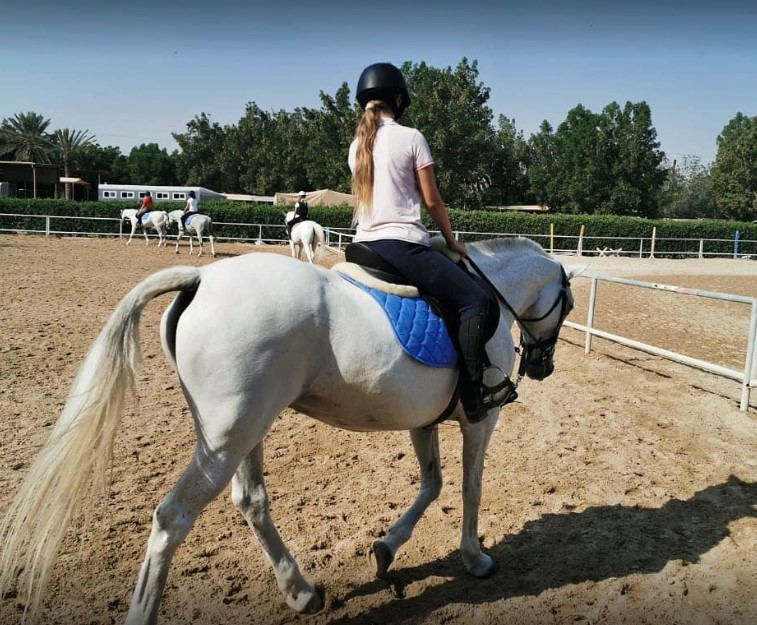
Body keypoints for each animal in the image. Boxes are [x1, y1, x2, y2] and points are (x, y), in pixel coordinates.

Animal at [0, 237, 585, 624]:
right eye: (569, 304)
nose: (542, 367)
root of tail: (202, 278)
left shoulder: (424, 420)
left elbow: (432, 483)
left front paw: (387, 548)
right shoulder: (480, 418)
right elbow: (469, 487)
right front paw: (474, 558)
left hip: (240, 431)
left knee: (251, 501)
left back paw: (301, 592)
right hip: (228, 437)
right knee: (172, 517)